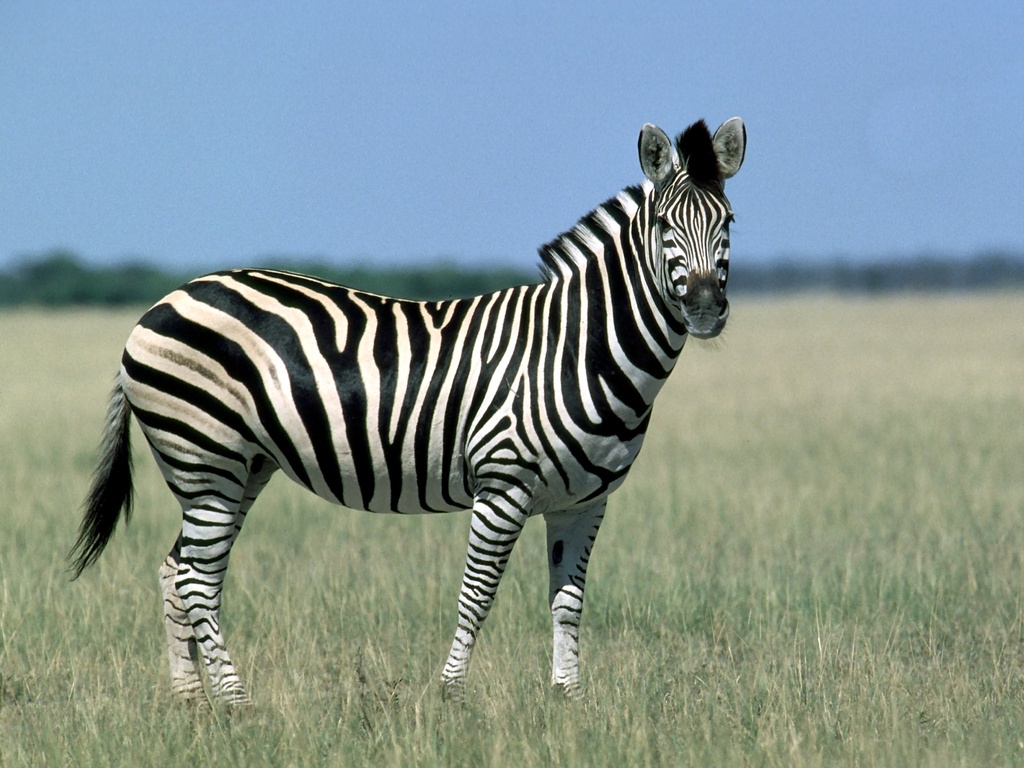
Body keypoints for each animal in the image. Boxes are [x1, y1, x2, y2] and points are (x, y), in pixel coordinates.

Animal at [69, 117, 746, 705]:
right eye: (664, 224)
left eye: (730, 221)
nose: (706, 309)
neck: (577, 348)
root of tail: (160, 305)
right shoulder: (502, 485)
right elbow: (478, 595)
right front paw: (451, 698)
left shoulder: (584, 501)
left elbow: (568, 601)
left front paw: (569, 702)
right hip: (205, 459)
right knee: (197, 582)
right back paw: (236, 703)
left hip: (237, 469)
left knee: (173, 571)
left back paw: (190, 701)